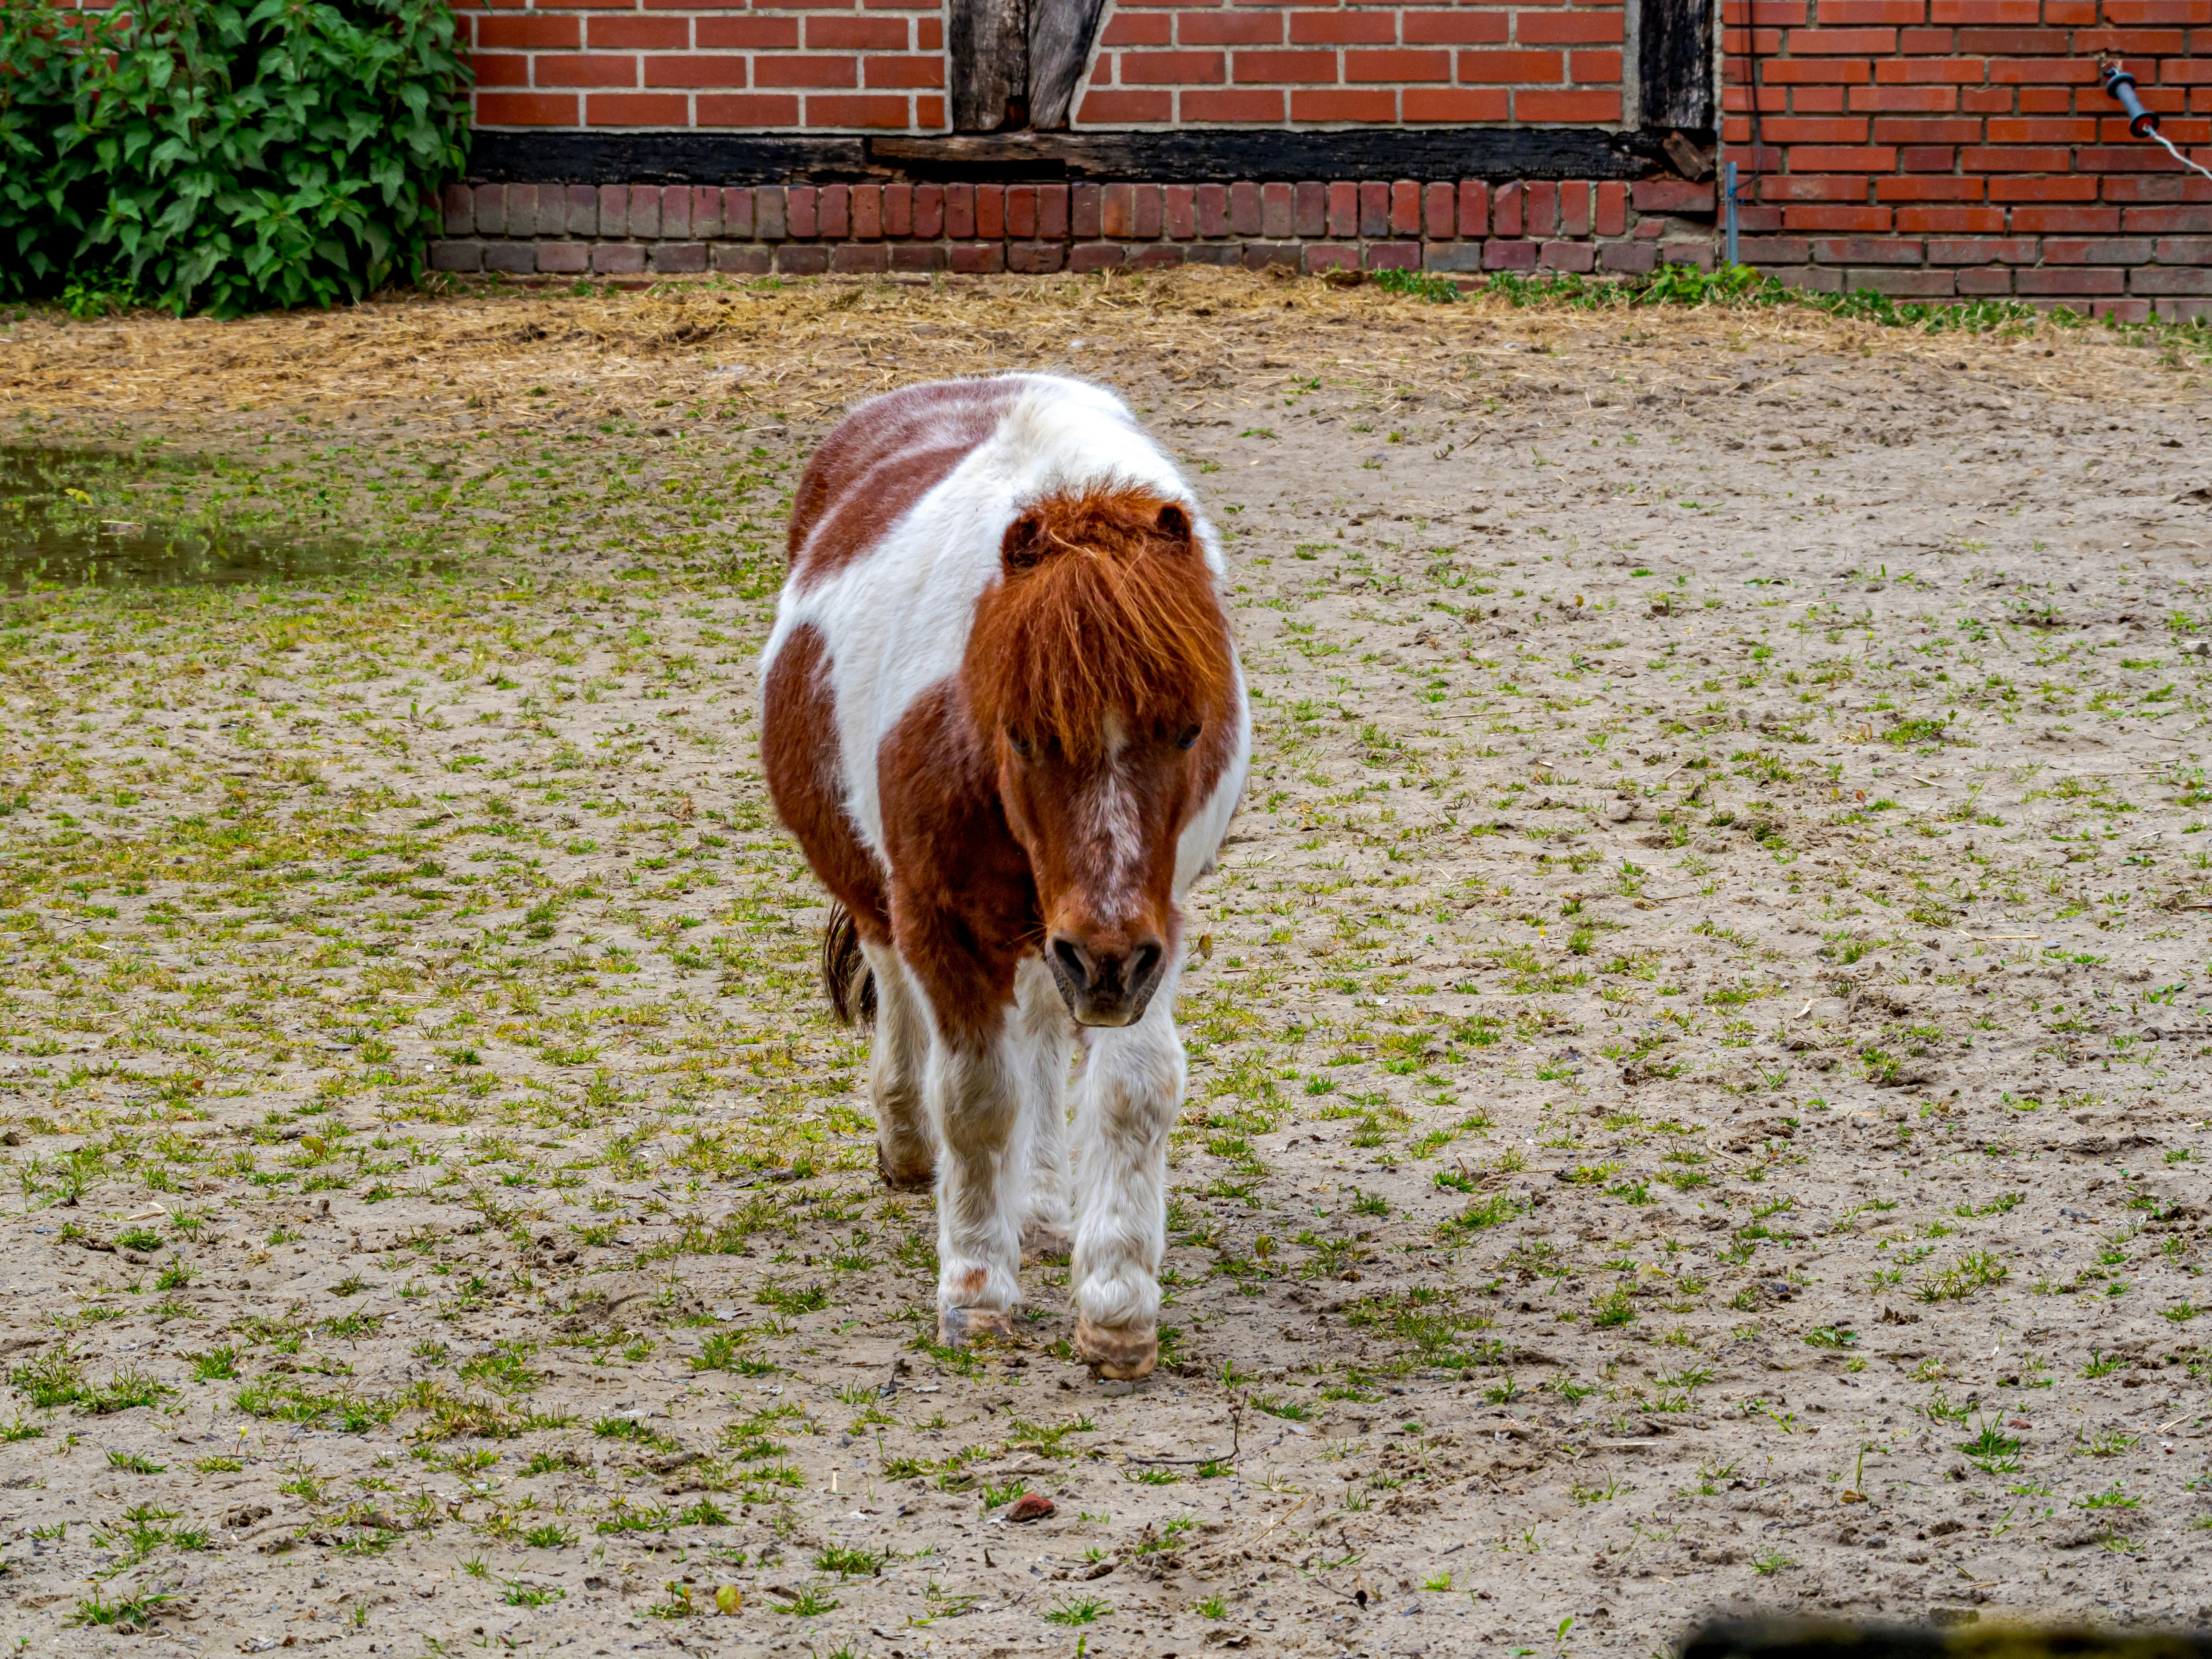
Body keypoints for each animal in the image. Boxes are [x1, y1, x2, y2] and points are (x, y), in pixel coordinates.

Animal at [758, 373, 1249, 1380]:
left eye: (1187, 728)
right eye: (1022, 735)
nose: (1105, 960)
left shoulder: (1153, 929)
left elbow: (1133, 1094)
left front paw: (1116, 1304)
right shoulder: (943, 918)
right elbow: (976, 1101)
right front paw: (976, 1295)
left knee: (1044, 1029)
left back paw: (1050, 1205)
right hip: (895, 894)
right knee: (900, 989)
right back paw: (909, 1146)